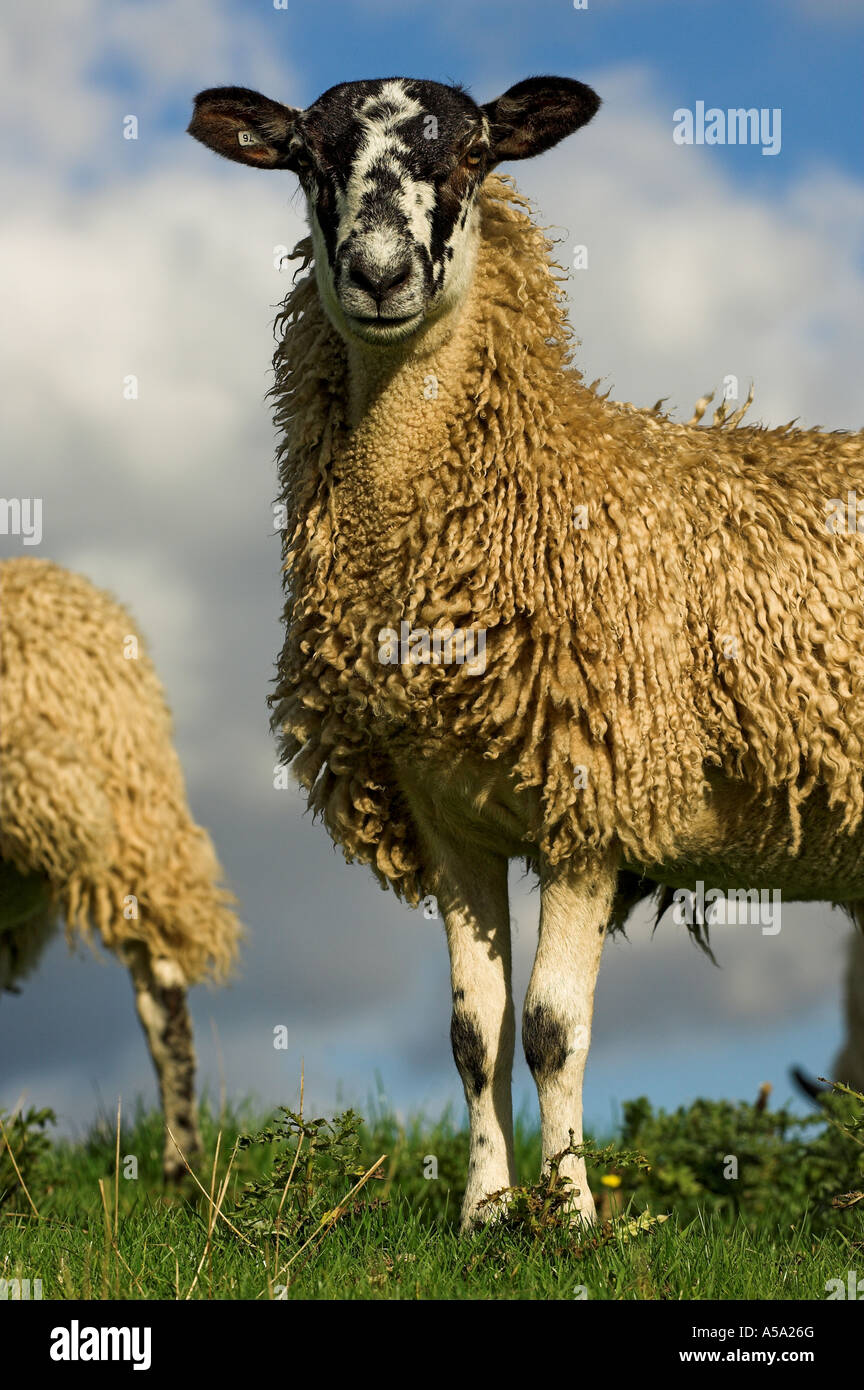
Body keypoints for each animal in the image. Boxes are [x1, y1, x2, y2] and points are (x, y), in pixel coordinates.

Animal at [189, 75, 864, 1228]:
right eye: (307, 158)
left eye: (473, 155)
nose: (378, 275)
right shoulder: (446, 814)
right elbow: (476, 1031)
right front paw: (485, 1215)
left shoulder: (594, 795)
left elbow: (552, 1027)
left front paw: (577, 1218)